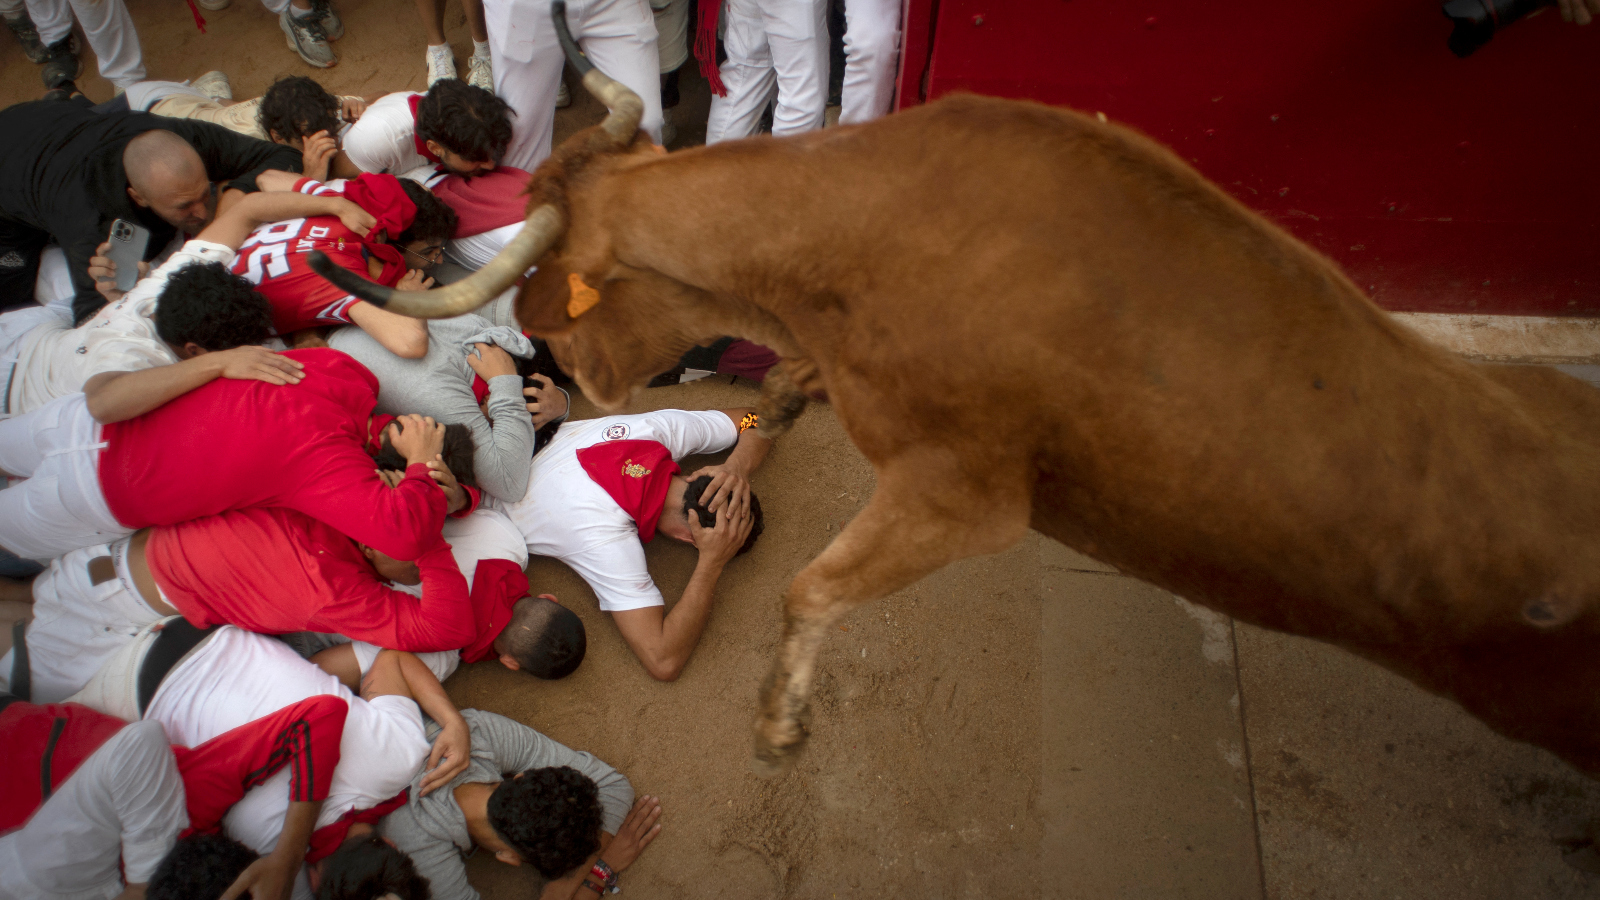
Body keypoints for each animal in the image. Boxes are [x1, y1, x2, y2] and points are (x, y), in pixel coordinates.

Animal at [312, 3, 1600, 781]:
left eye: (558, 305)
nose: (561, 374)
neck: (865, 226)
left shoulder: (960, 497)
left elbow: (811, 587)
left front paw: (779, 721)